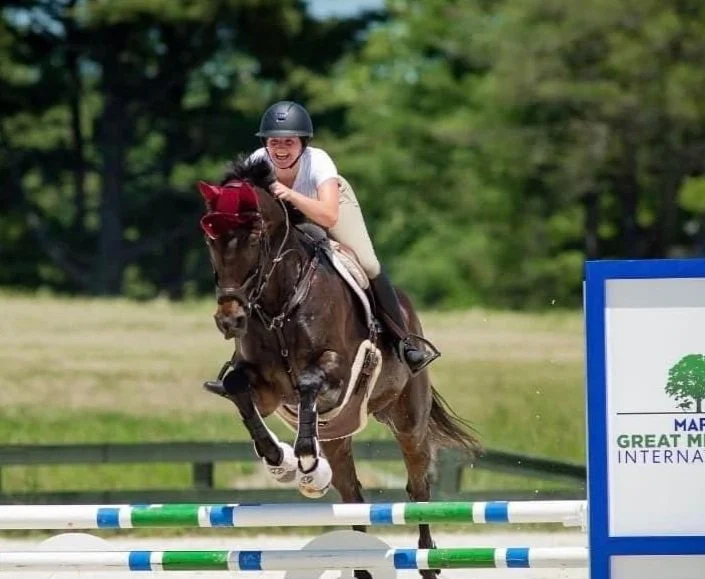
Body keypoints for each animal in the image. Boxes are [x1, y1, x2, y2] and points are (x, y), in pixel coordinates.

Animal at [197, 155, 481, 579]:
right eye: (211, 240)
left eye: (253, 236)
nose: (229, 320)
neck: (280, 302)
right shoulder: (265, 389)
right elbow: (237, 388)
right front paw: (281, 463)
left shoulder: (338, 373)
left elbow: (309, 383)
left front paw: (307, 468)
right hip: (339, 436)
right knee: (352, 495)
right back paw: (357, 559)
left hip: (407, 418)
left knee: (417, 488)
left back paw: (428, 560)